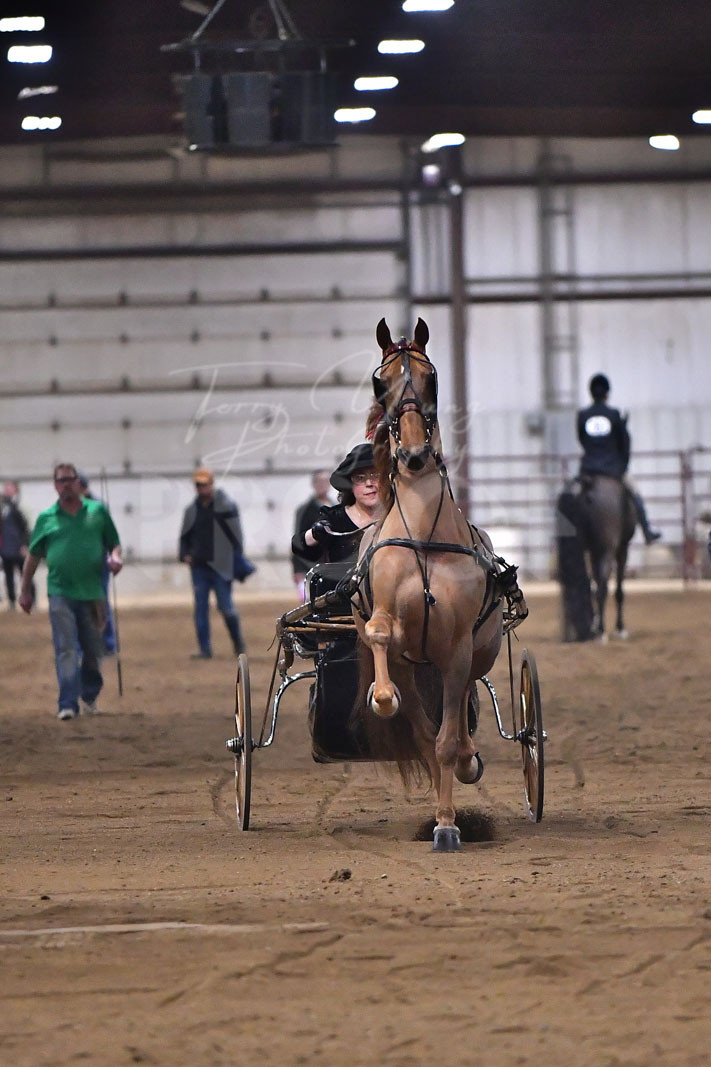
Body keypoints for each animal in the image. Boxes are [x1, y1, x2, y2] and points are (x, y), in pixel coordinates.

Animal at [352, 317, 505, 852]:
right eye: (380, 382)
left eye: (432, 377)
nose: (416, 455)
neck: (422, 534)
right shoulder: (388, 626)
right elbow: (380, 637)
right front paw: (381, 699)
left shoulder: (456, 649)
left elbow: (447, 740)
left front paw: (447, 823)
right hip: (410, 664)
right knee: (422, 724)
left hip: (476, 653)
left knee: (456, 719)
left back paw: (467, 761)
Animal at [575, 474, 636, 639]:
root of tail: (590, 485)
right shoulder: (622, 550)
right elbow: (619, 590)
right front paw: (620, 627)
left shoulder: (592, 553)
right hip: (608, 552)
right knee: (602, 589)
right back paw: (601, 630)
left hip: (586, 551)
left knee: (591, 588)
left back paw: (594, 627)